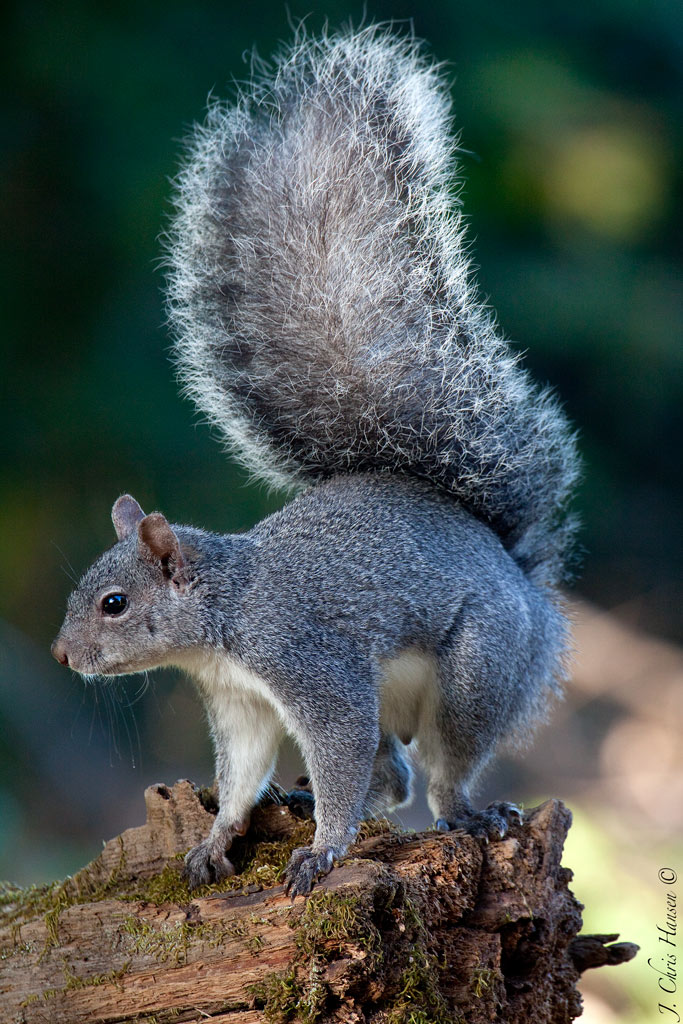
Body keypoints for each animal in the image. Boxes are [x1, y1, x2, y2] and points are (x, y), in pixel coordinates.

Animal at [52, 25, 579, 897]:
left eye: (115, 604)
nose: (63, 655)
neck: (224, 617)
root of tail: (522, 581)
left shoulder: (310, 667)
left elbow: (336, 746)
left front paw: (327, 847)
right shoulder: (241, 706)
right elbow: (239, 776)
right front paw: (216, 838)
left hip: (480, 668)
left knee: (438, 770)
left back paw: (462, 813)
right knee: (392, 773)